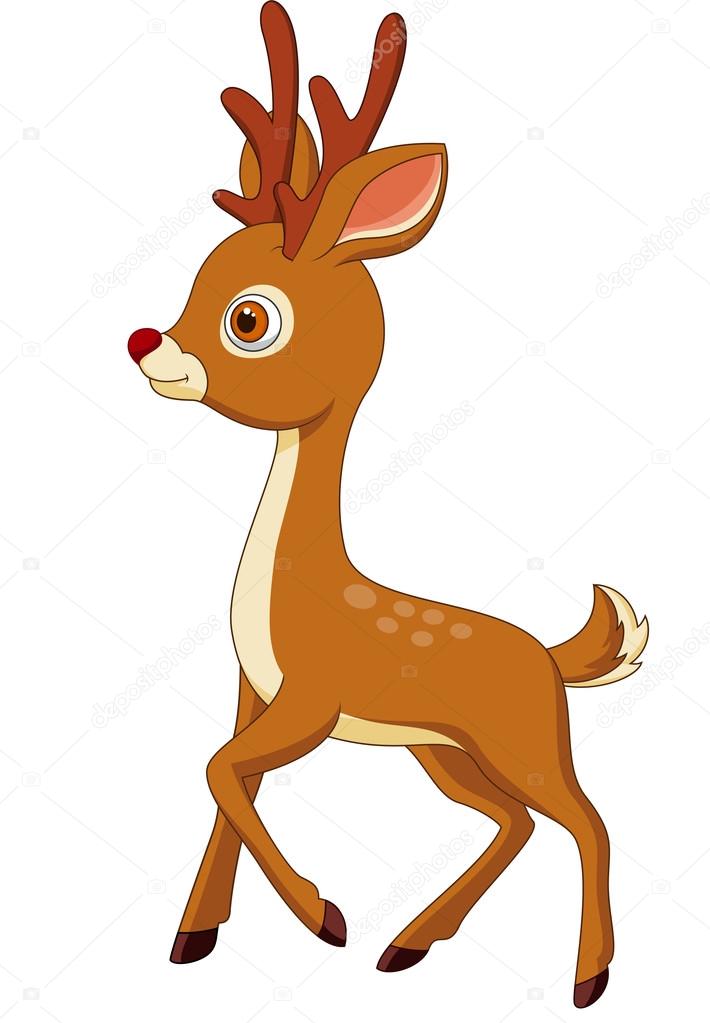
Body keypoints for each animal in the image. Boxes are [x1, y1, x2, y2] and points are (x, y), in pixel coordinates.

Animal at [126, 3, 648, 1009]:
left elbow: (217, 771)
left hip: (520, 738)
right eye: (195, 279)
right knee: (516, 822)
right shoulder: (254, 693)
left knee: (586, 818)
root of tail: (550, 657)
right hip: (443, 751)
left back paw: (589, 977)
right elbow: (223, 779)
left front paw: (321, 916)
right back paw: (409, 943)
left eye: (249, 318)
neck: (291, 587)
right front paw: (196, 934)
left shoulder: (311, 701)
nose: (145, 344)